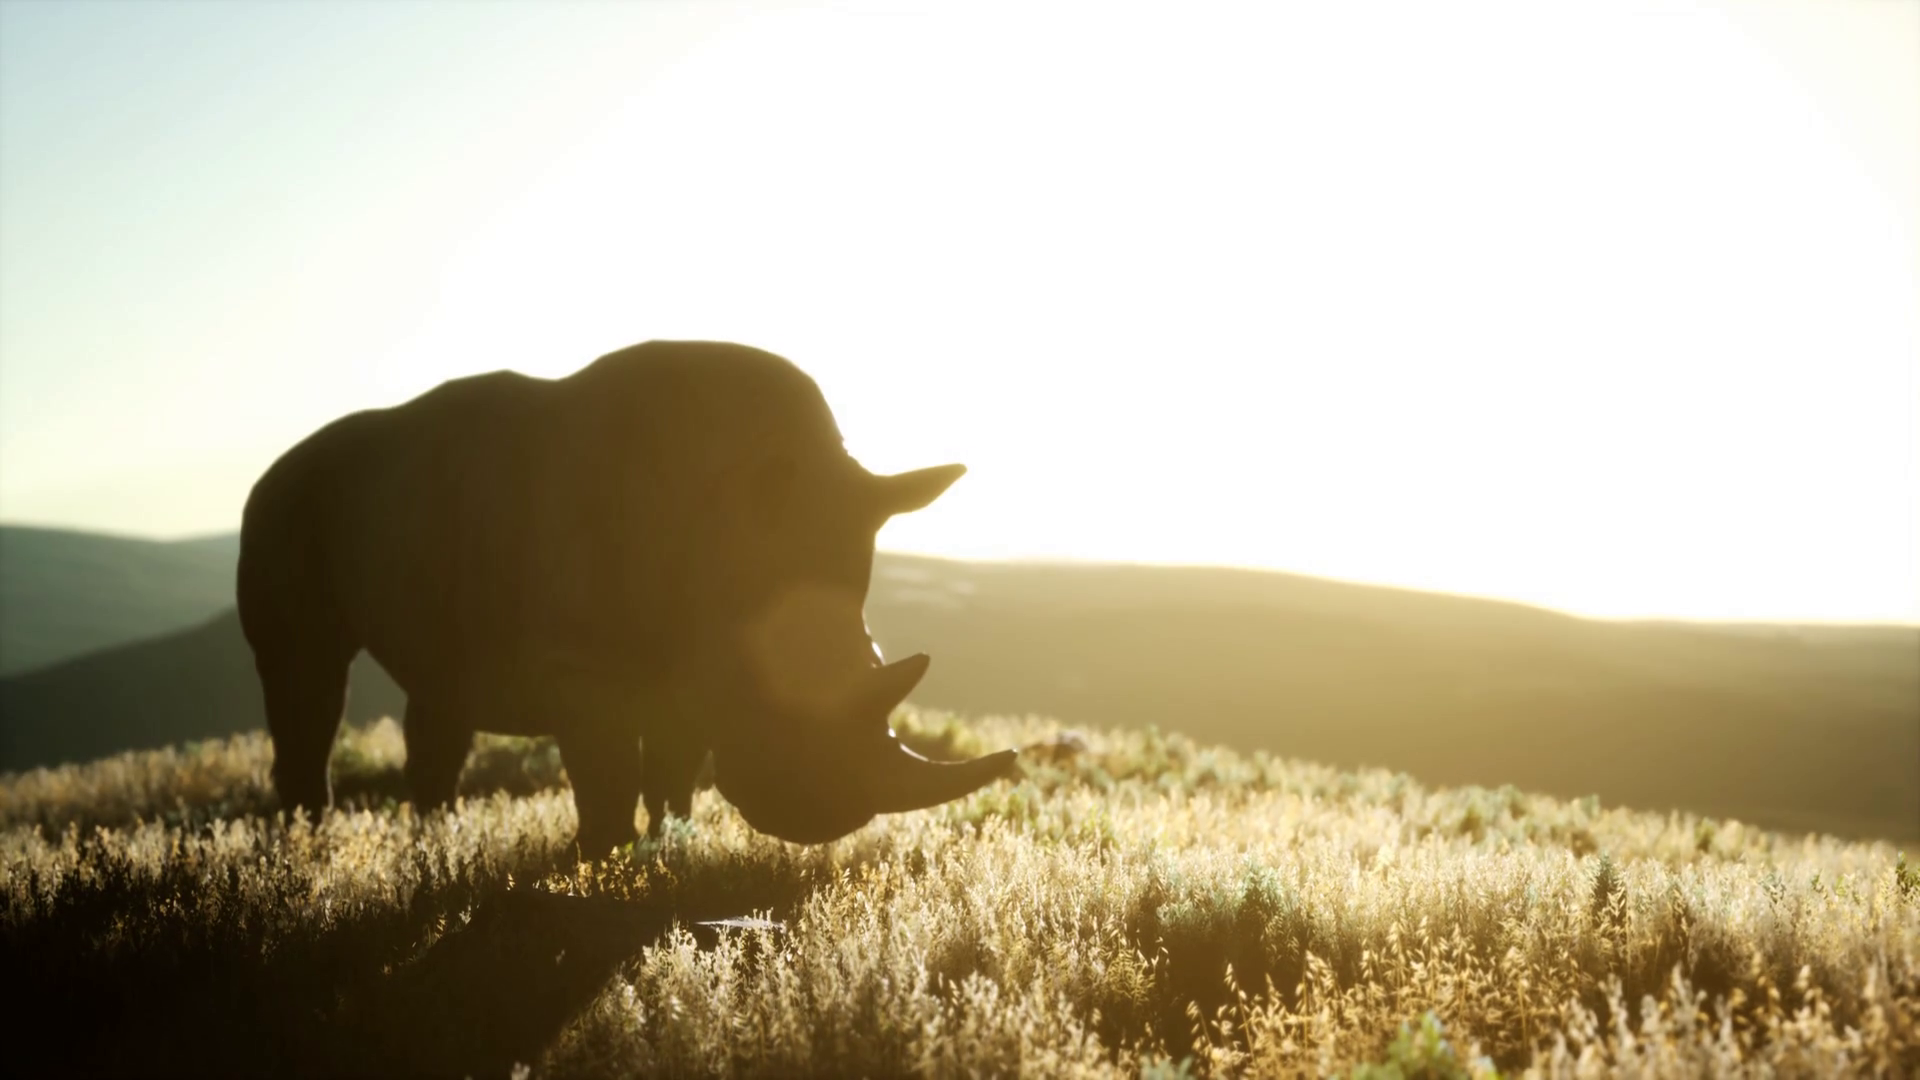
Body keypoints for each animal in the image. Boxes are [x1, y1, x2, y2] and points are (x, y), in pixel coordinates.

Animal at [237, 340, 1016, 854]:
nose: (824, 821)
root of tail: (276, 464)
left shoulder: (694, 654)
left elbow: (673, 763)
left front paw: (671, 843)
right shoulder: (586, 661)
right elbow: (606, 768)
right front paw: (605, 861)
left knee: (439, 682)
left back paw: (434, 842)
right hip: (286, 501)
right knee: (307, 668)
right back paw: (308, 848)